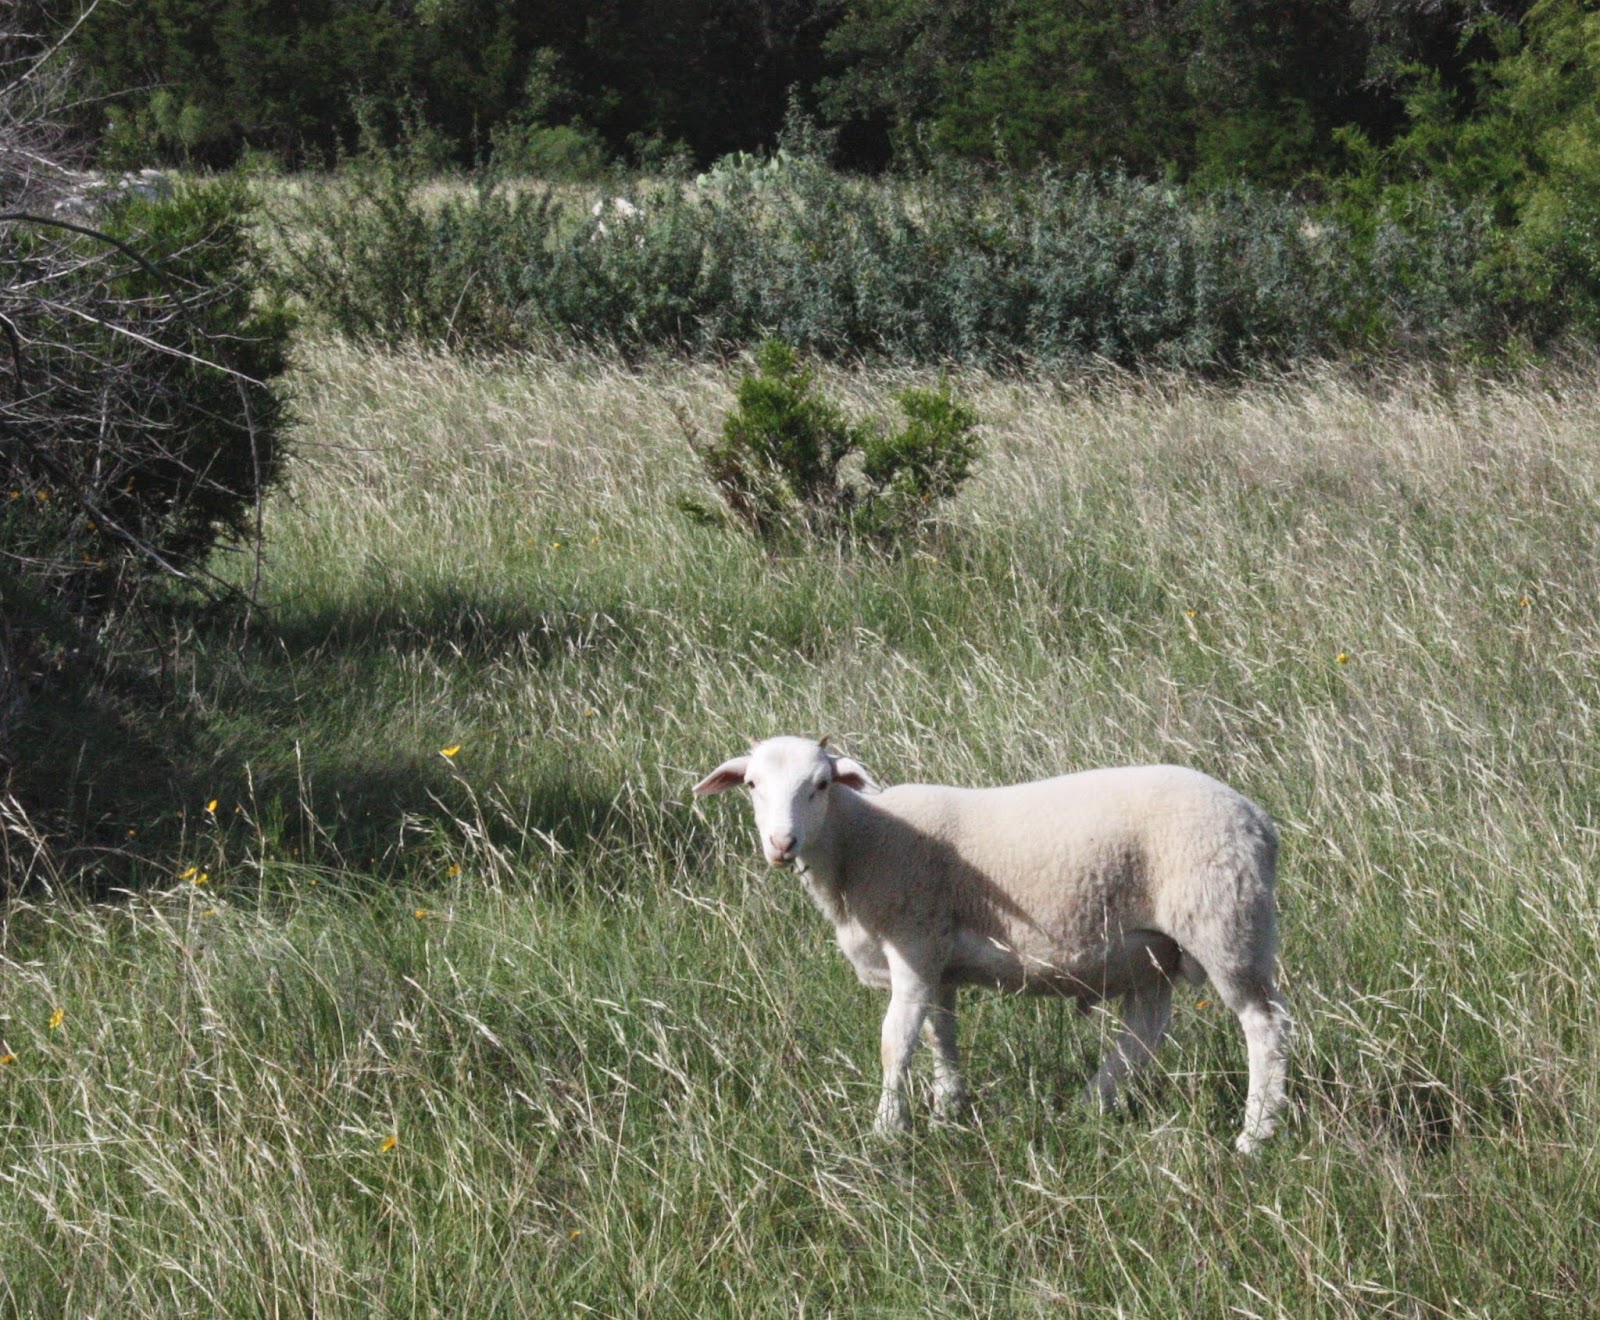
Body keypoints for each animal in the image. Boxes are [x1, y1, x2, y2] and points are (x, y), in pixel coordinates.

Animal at [694, 736, 1290, 1153]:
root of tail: (1258, 821)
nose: (781, 843)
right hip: (1154, 951)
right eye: (752, 785)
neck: (858, 842)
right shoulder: (938, 961)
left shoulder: (913, 942)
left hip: (1226, 924)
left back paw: (1254, 1134)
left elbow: (896, 1040)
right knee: (1145, 1031)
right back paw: (1089, 1104)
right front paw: (947, 1112)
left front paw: (888, 1130)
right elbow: (941, 1036)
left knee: (1264, 1026)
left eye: (820, 784)